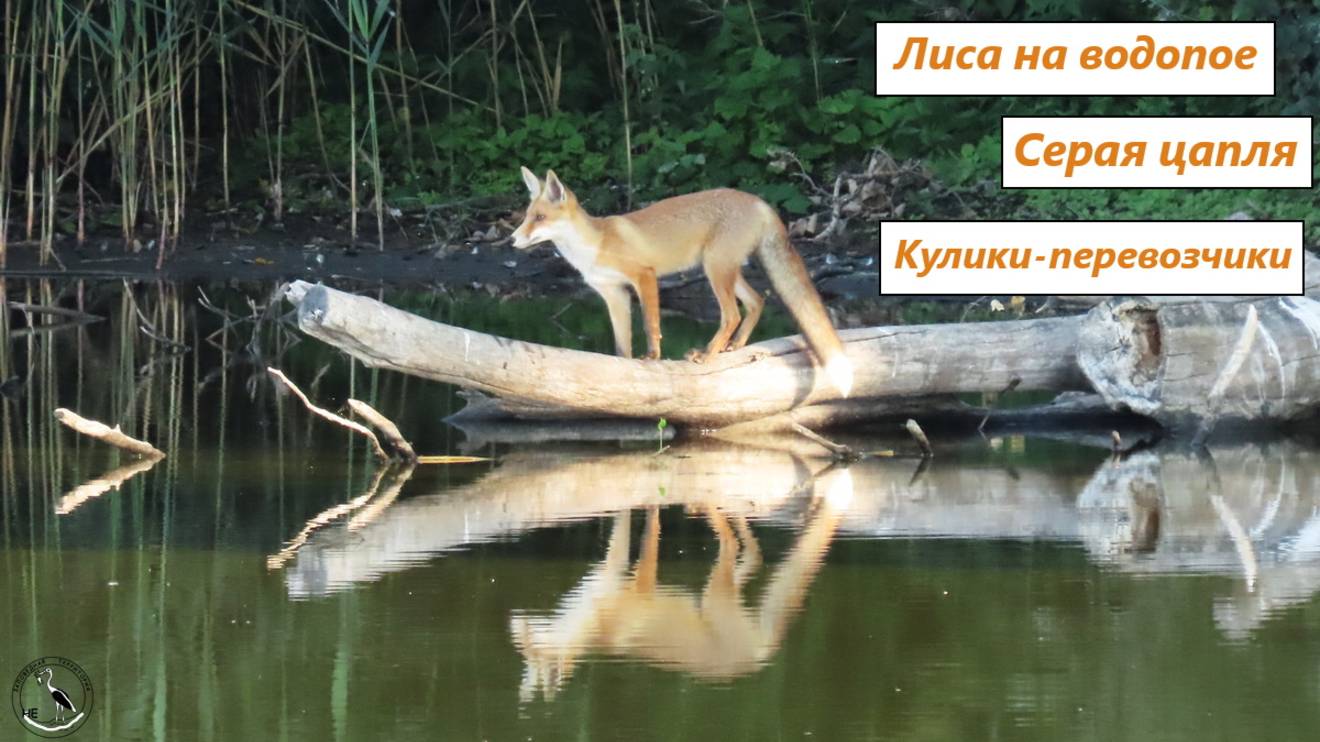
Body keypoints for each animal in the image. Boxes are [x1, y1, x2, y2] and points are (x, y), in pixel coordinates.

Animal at [510, 167, 853, 397]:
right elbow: (622, 342)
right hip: (725, 270)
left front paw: (652, 357)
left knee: (732, 314)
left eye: (539, 218)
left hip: (715, 270)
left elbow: (651, 325)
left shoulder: (644, 276)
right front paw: (623, 370)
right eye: (527, 216)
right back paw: (735, 346)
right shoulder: (613, 293)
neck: (595, 245)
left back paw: (709, 353)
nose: (512, 239)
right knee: (757, 301)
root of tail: (758, 201)